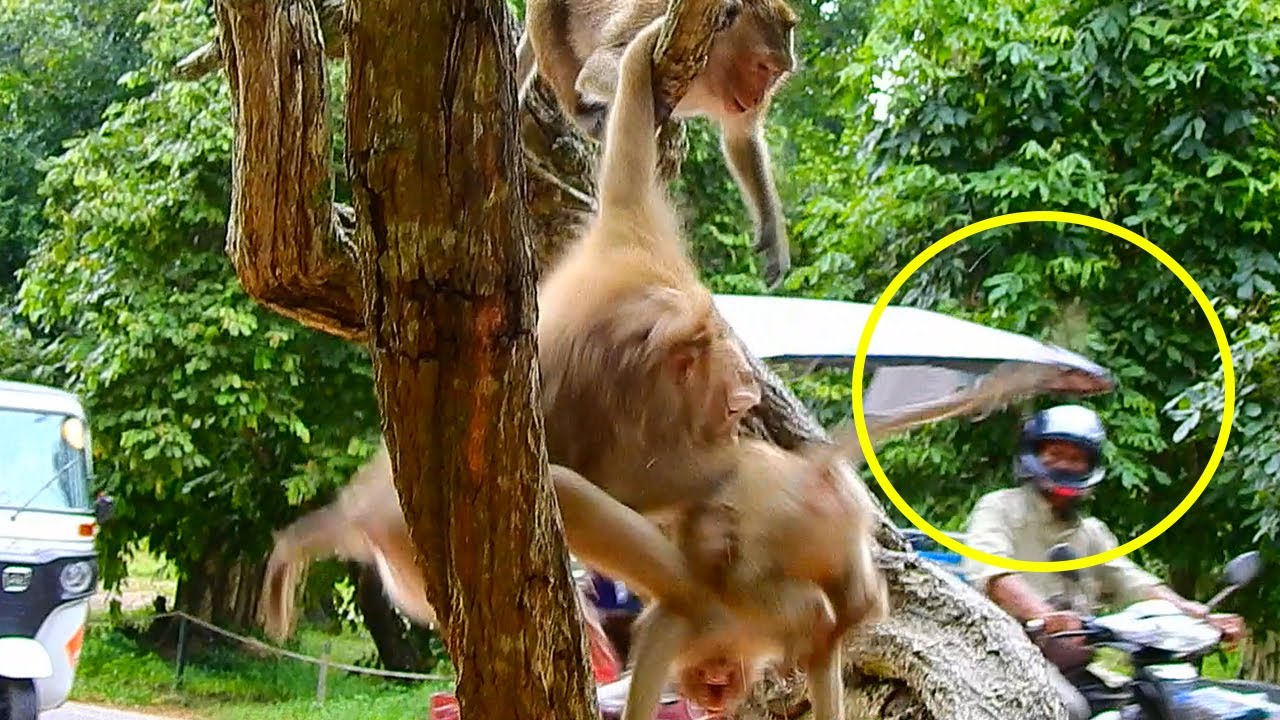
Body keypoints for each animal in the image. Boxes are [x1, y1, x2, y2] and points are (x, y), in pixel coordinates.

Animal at [516, 0, 799, 289]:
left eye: (775, 74)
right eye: (763, 67)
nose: (758, 99)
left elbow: (741, 137)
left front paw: (772, 234)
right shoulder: (658, 22)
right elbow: (597, 68)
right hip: (546, 14)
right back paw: (589, 118)